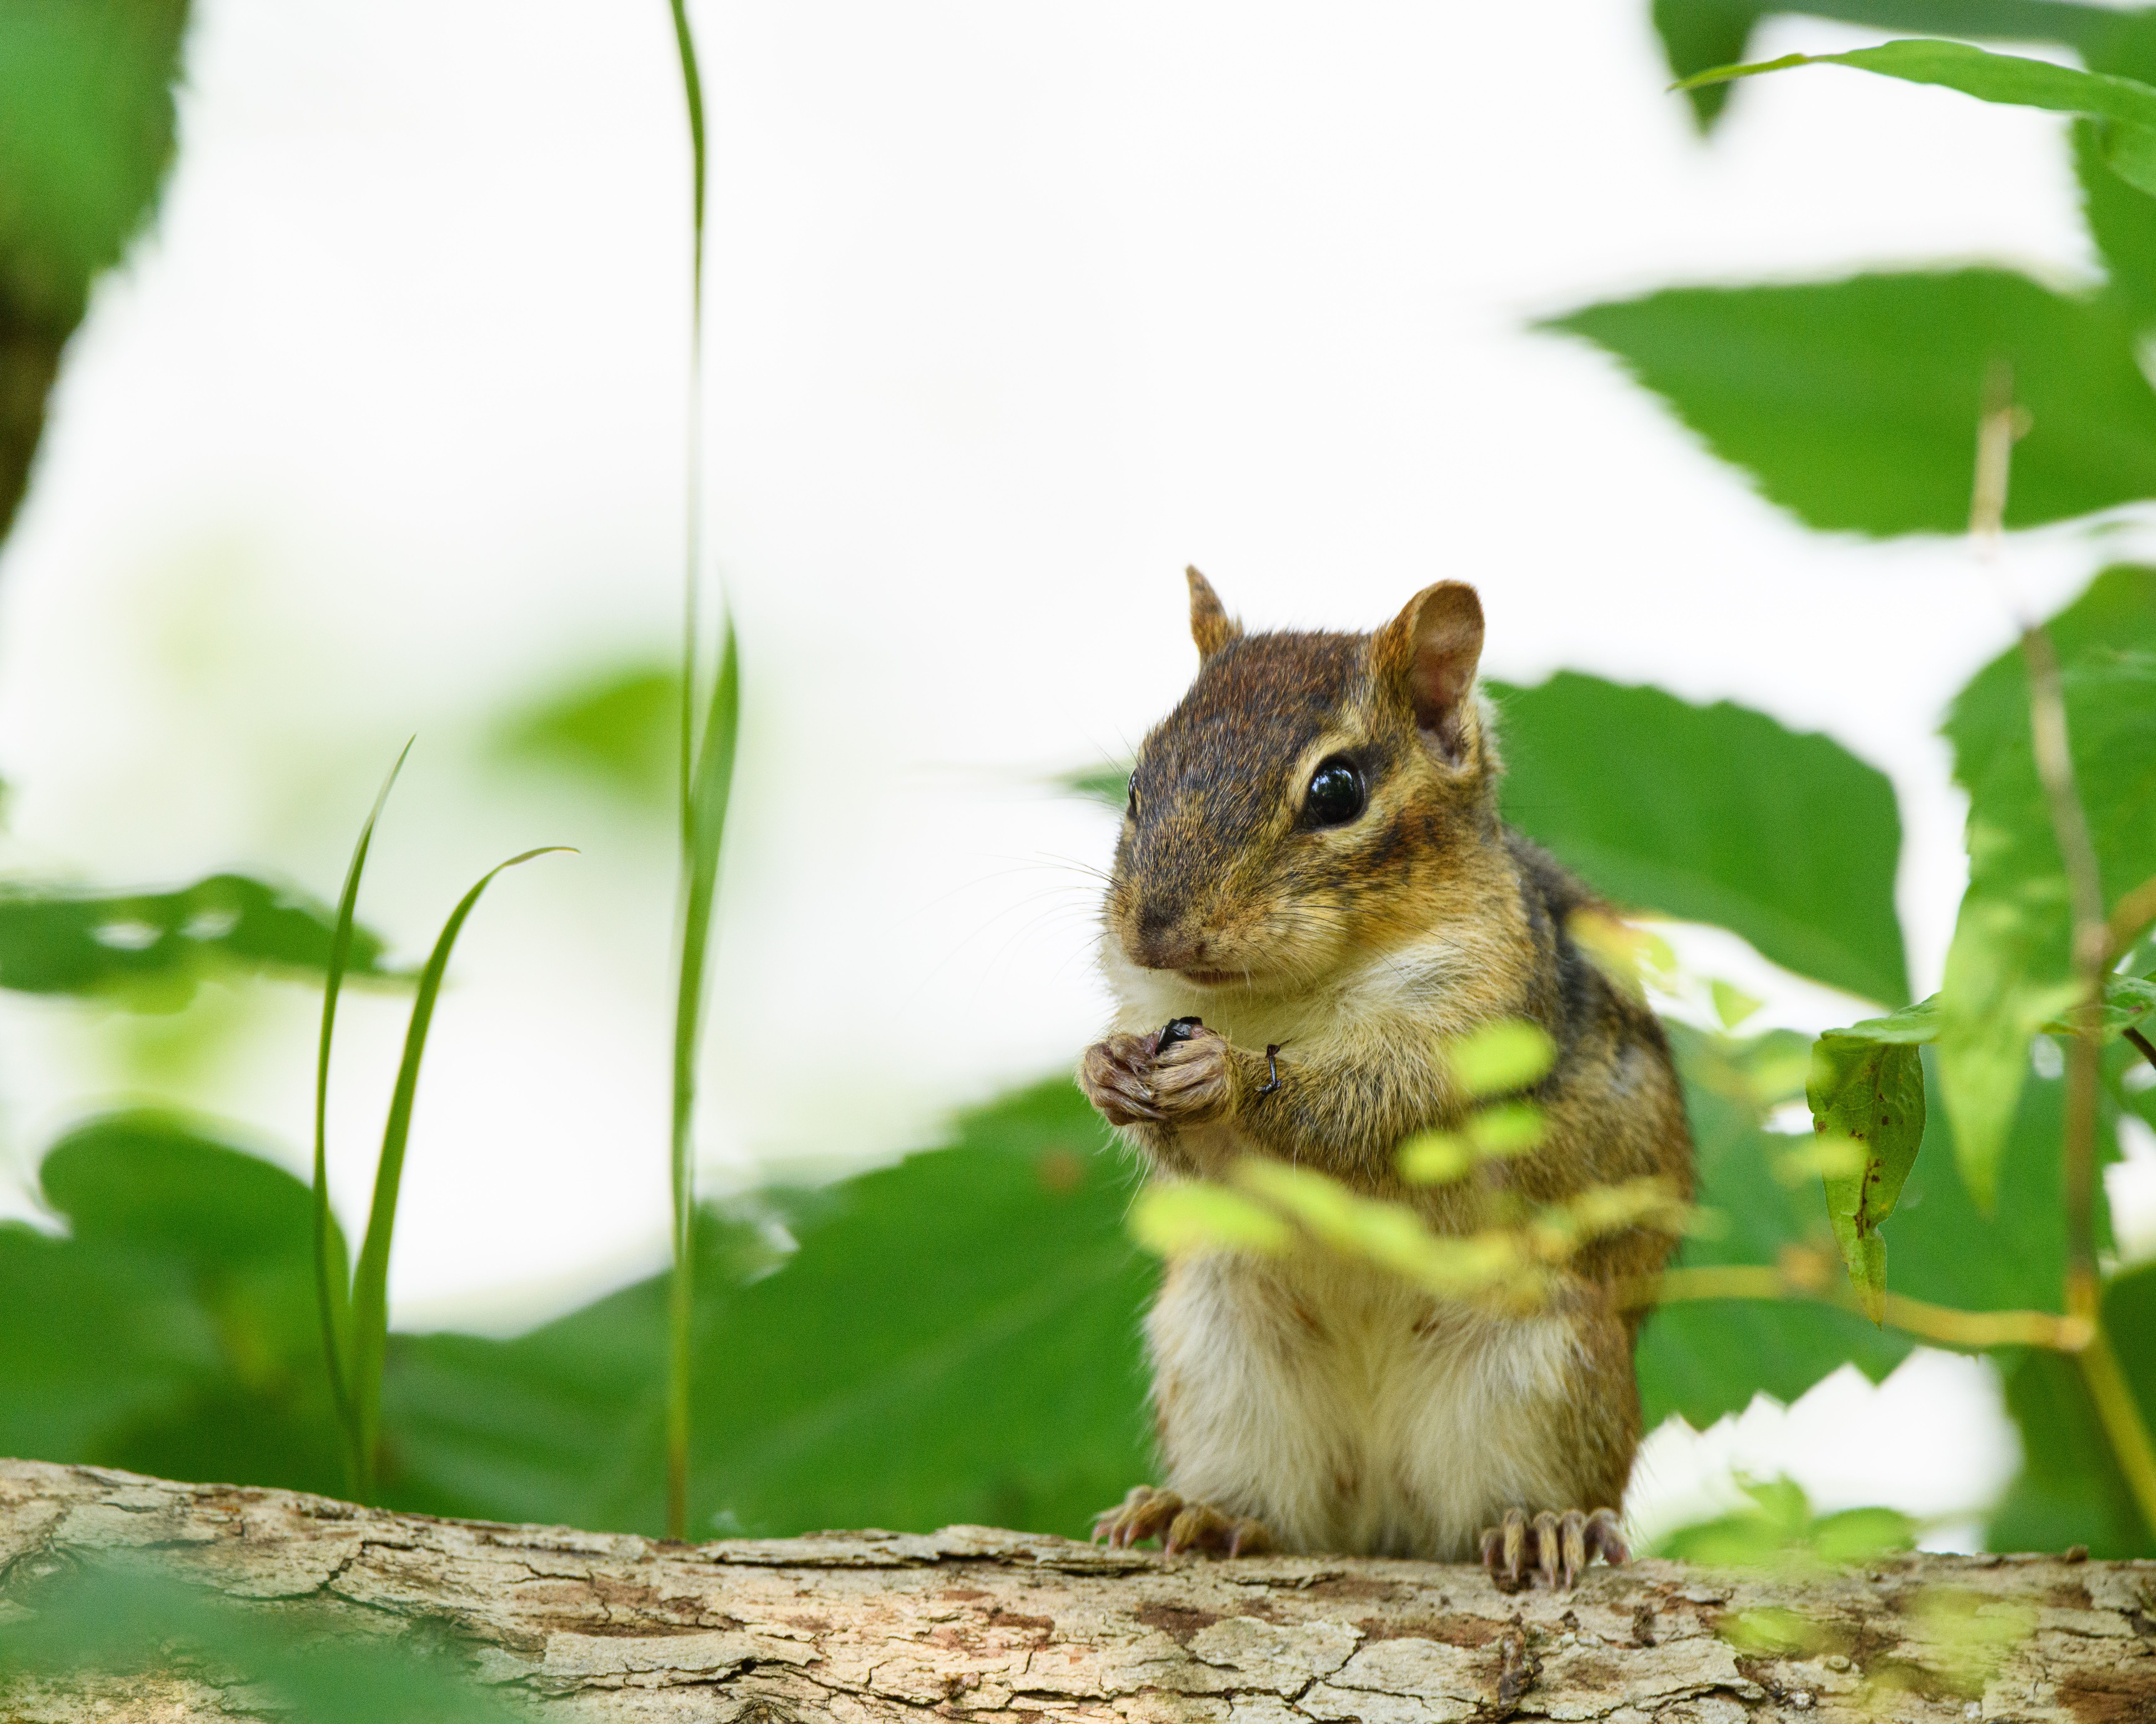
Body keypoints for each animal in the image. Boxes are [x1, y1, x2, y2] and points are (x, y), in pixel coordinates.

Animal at [1078, 569, 1694, 1589]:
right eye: (1135, 784)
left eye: (1337, 790)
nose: (1154, 930)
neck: (1274, 997)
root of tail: (1380, 1515)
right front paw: (1106, 1069)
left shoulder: (1475, 1029)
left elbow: (1378, 1112)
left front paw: (1226, 1076)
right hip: (1219, 1358)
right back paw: (1205, 1510)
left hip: (1546, 1366)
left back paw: (1546, 1522)